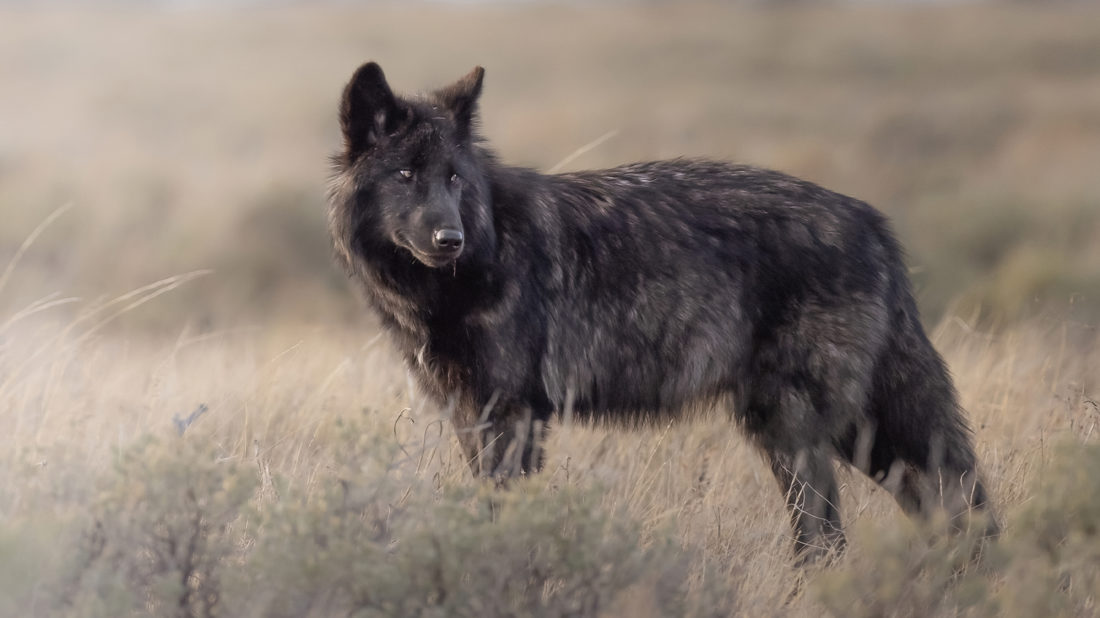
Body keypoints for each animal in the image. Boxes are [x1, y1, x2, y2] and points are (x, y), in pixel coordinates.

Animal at [327, 62, 997, 561]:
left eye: (455, 178)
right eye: (405, 175)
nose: (451, 240)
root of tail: (873, 222)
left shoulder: (513, 417)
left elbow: (505, 512)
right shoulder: (473, 417)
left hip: (799, 430)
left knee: (830, 533)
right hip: (849, 434)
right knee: (946, 500)